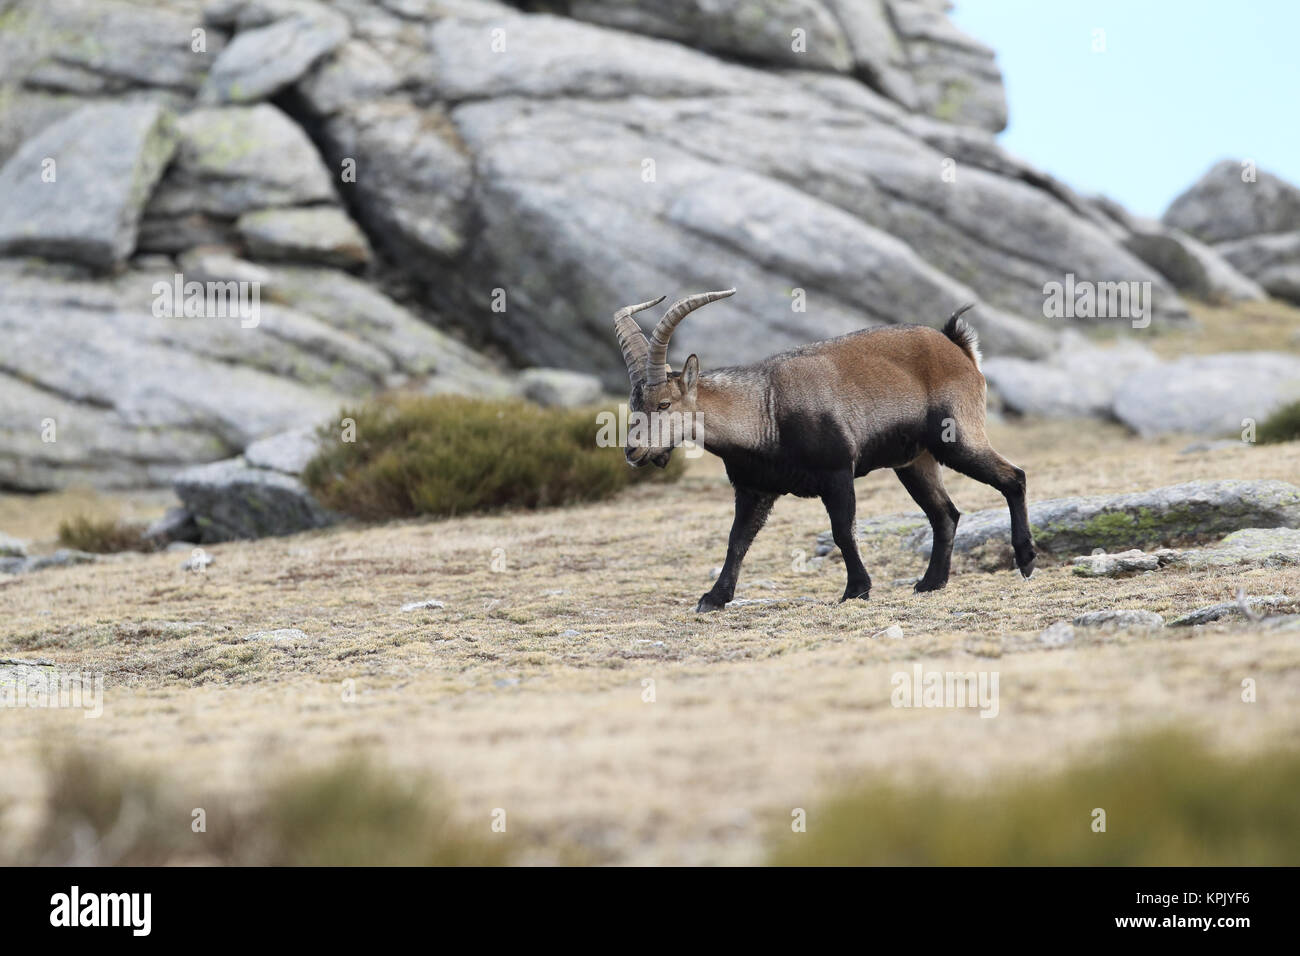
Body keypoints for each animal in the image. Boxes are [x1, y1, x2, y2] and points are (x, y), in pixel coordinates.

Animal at [614, 290, 1036, 612]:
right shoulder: (755, 489)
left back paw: (1027, 560)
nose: (632, 452)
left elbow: (842, 531)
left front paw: (856, 590)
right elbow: (737, 541)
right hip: (915, 462)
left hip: (957, 438)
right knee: (945, 514)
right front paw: (714, 598)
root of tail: (957, 347)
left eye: (664, 404)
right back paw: (931, 583)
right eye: (634, 403)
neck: (766, 410)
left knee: (1013, 478)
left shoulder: (837, 473)